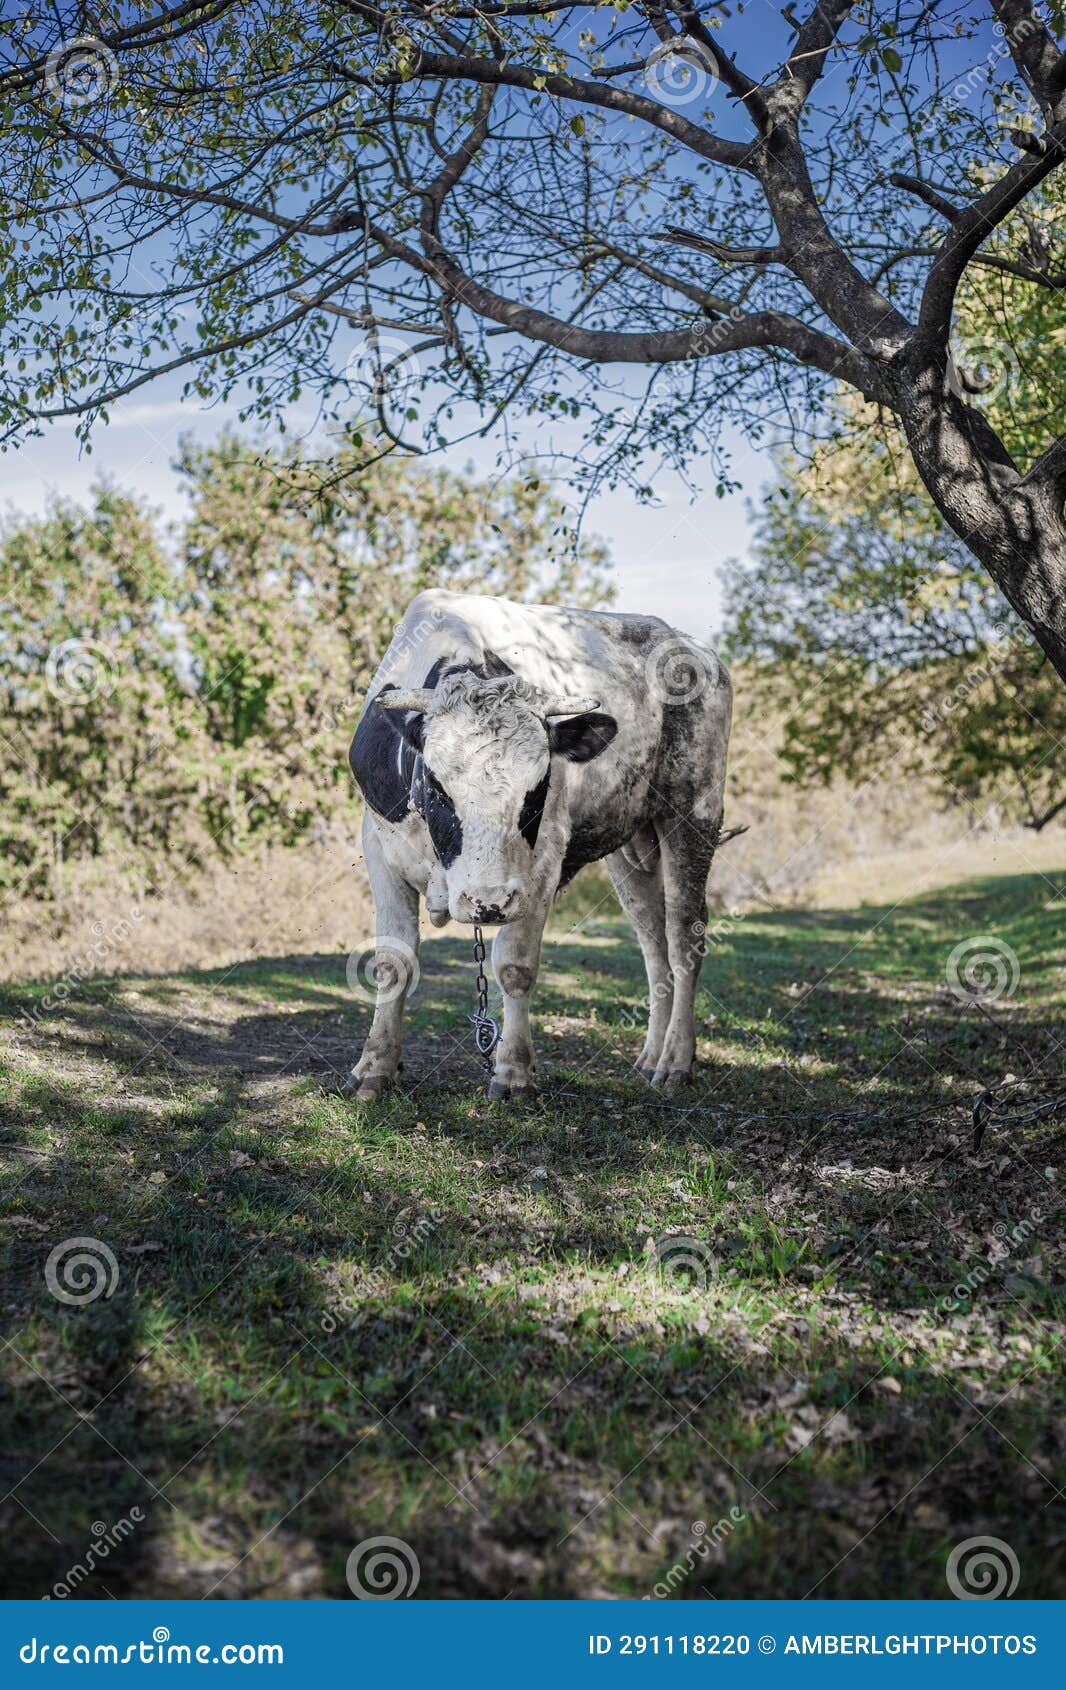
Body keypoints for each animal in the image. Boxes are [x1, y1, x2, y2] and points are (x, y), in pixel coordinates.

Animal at [346, 589, 732, 1101]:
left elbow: (514, 965)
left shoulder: (543, 864)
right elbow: (393, 961)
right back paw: (651, 1054)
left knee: (685, 936)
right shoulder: (380, 850)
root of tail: (689, 646)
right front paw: (375, 1067)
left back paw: (674, 1061)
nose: (487, 902)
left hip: (692, 816)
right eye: (437, 786)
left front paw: (512, 1072)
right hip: (630, 849)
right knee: (653, 941)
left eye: (537, 788)